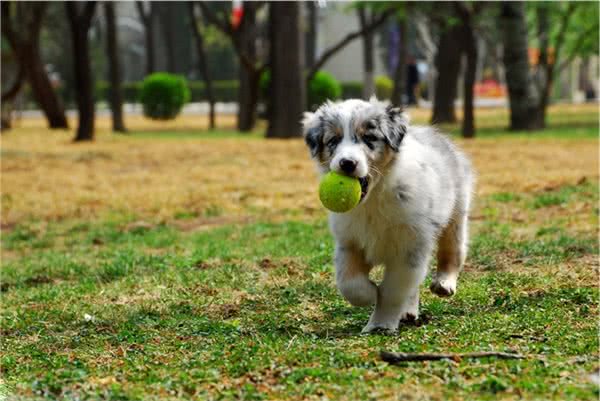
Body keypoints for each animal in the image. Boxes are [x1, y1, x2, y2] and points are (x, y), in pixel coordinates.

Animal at [302, 98, 476, 332]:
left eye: (369, 138)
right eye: (333, 140)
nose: (347, 163)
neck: (373, 198)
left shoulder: (409, 248)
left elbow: (393, 291)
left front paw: (380, 324)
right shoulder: (350, 243)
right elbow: (349, 282)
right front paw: (369, 294)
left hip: (456, 215)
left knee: (453, 252)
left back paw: (444, 283)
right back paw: (409, 311)